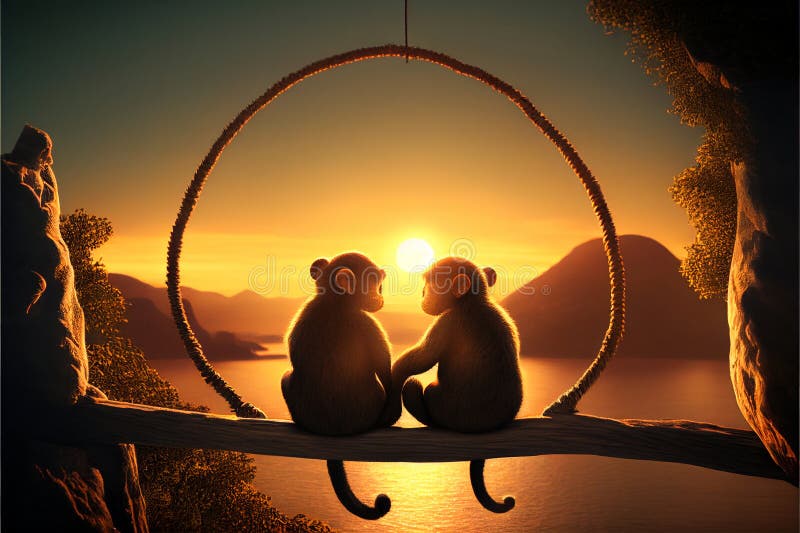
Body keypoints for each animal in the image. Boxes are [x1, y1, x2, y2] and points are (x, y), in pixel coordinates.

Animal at [282, 251, 393, 519]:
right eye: (376, 286)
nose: (381, 297)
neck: (335, 302)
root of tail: (333, 431)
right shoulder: (366, 323)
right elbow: (385, 372)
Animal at [382, 256, 523, 513]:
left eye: (430, 283)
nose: (423, 293)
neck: (471, 301)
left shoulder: (449, 320)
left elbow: (422, 359)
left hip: (447, 412)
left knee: (416, 389)